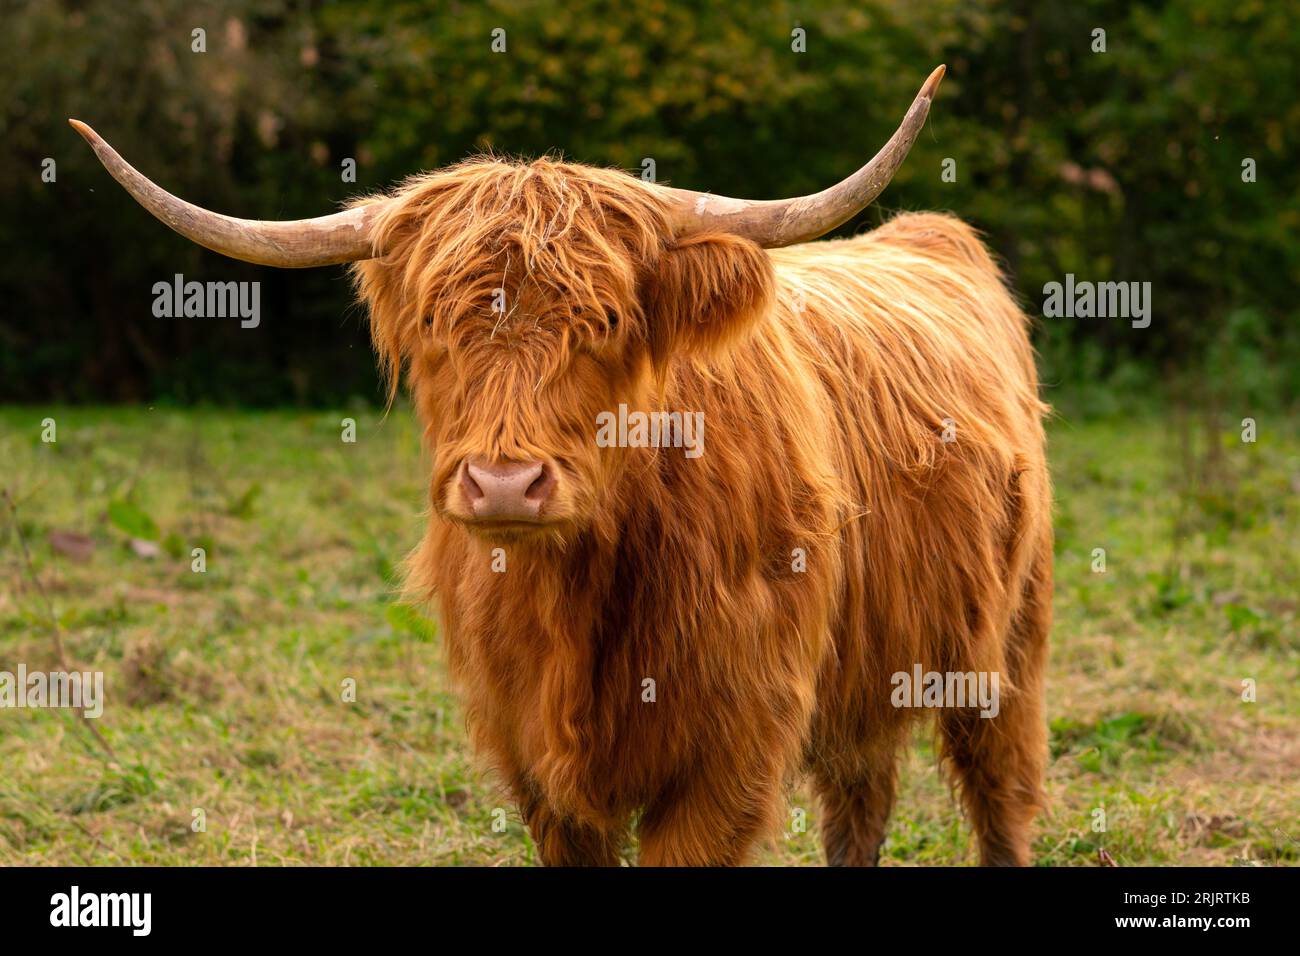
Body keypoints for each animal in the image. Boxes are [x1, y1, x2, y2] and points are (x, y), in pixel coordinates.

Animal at [71, 65, 1053, 866]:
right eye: (432, 323)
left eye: (608, 320)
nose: (505, 485)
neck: (581, 594)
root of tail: (925, 236)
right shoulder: (531, 760)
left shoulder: (731, 751)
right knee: (864, 796)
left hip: (1006, 642)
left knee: (999, 790)